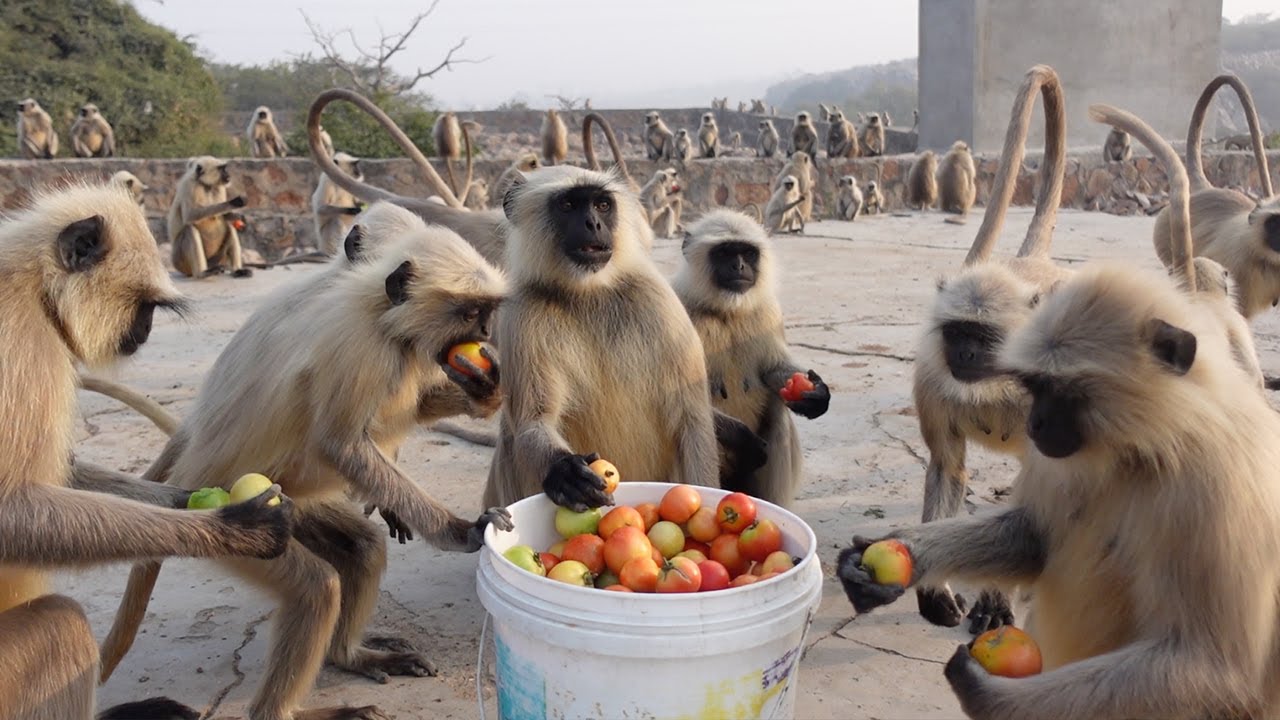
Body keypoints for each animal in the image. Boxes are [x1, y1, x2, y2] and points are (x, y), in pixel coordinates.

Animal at [0, 183, 293, 720]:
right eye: (146, 305)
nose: (146, 330)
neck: (32, 289)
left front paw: (185, 500)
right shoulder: (17, 340)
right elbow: (10, 511)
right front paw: (232, 530)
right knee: (63, 627)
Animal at [98, 211, 514, 720]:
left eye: (487, 311)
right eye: (471, 313)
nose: (487, 333)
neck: (376, 310)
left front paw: (486, 390)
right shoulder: (362, 348)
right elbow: (341, 445)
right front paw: (463, 531)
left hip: (289, 504)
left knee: (362, 548)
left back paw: (348, 655)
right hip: (229, 526)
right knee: (315, 588)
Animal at [482, 166, 726, 511]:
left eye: (602, 205)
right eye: (568, 205)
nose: (593, 224)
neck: (588, 291)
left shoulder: (657, 298)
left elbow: (693, 421)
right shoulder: (523, 308)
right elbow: (533, 422)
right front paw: (565, 472)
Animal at [671, 210, 829, 506]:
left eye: (747, 252)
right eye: (724, 253)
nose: (739, 267)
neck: (725, 312)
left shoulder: (768, 311)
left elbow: (774, 370)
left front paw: (816, 394)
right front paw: (744, 439)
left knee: (778, 412)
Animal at [908, 64, 1068, 633]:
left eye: (985, 340)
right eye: (957, 334)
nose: (964, 358)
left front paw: (997, 600)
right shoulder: (932, 380)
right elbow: (946, 467)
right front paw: (932, 589)